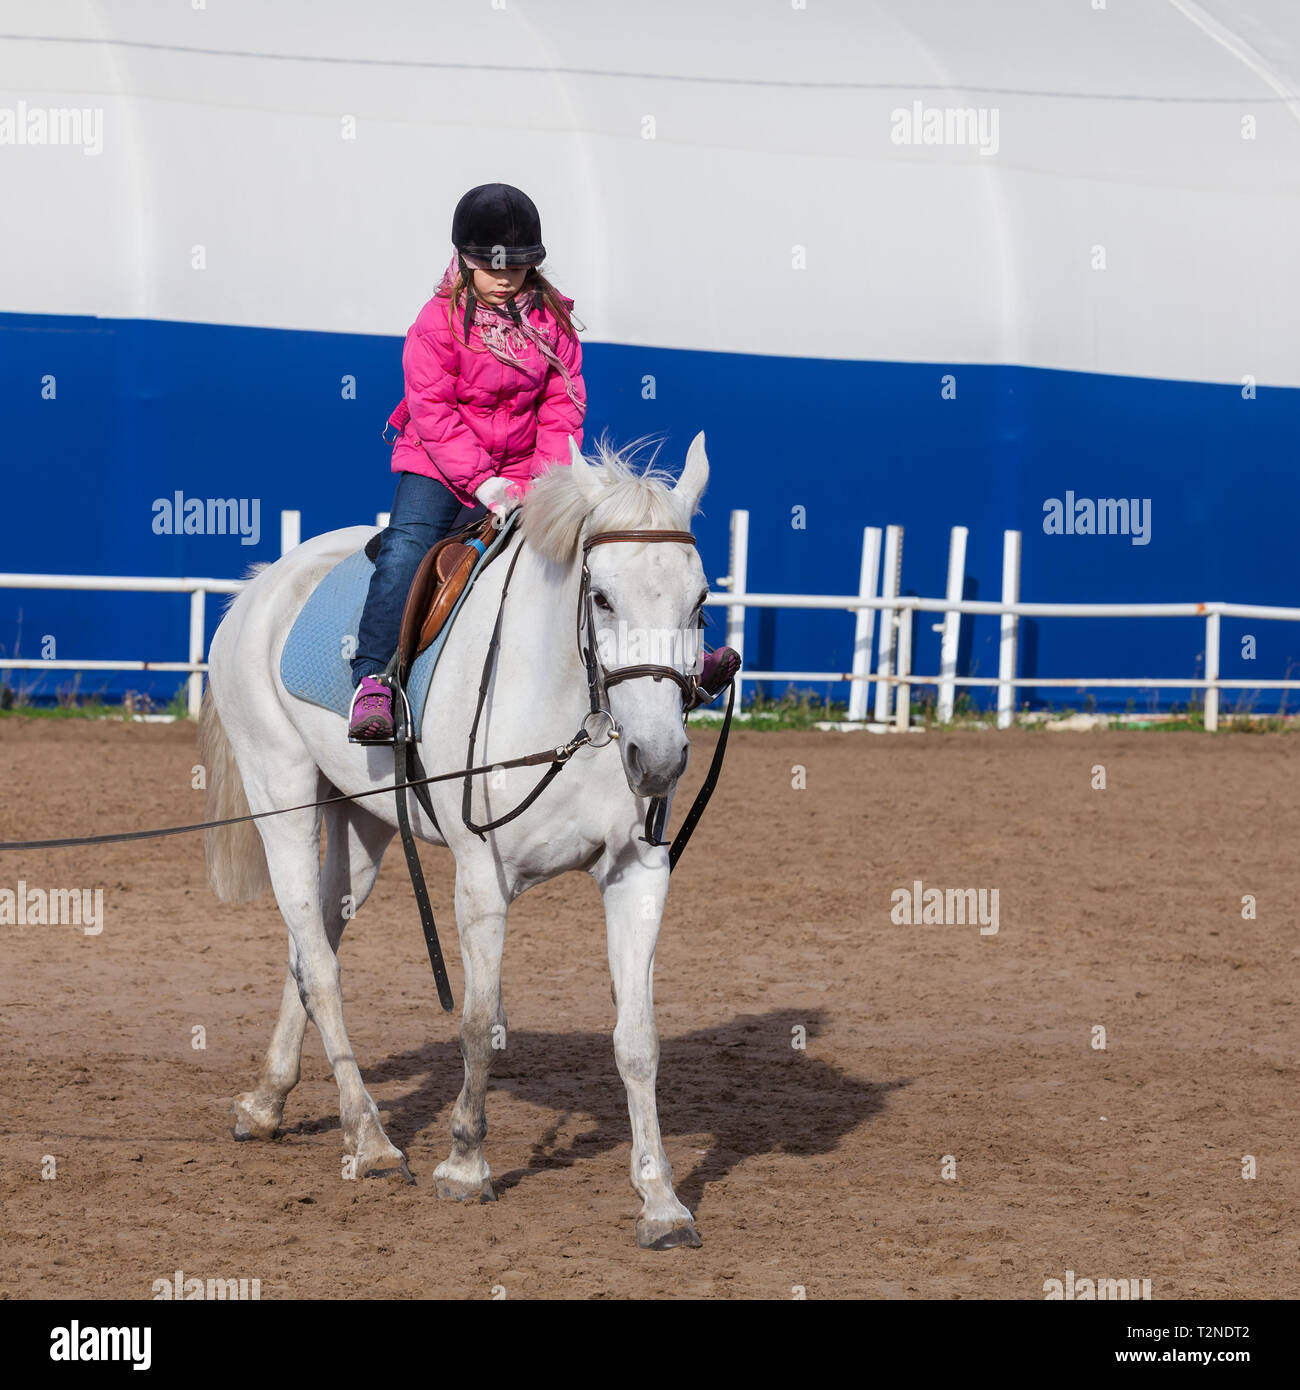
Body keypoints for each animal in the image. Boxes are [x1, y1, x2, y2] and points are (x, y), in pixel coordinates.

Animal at [199, 433, 713, 1249]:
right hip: (279, 797)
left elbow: (638, 1039)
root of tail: (261, 588)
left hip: (363, 824)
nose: (659, 758)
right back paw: (371, 1141)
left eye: (699, 602)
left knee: (311, 946)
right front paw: (466, 1163)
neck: (573, 717)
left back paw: (267, 1102)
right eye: (602, 597)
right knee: (321, 966)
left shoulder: (638, 875)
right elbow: (478, 1022)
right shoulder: (481, 877)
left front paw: (661, 1201)